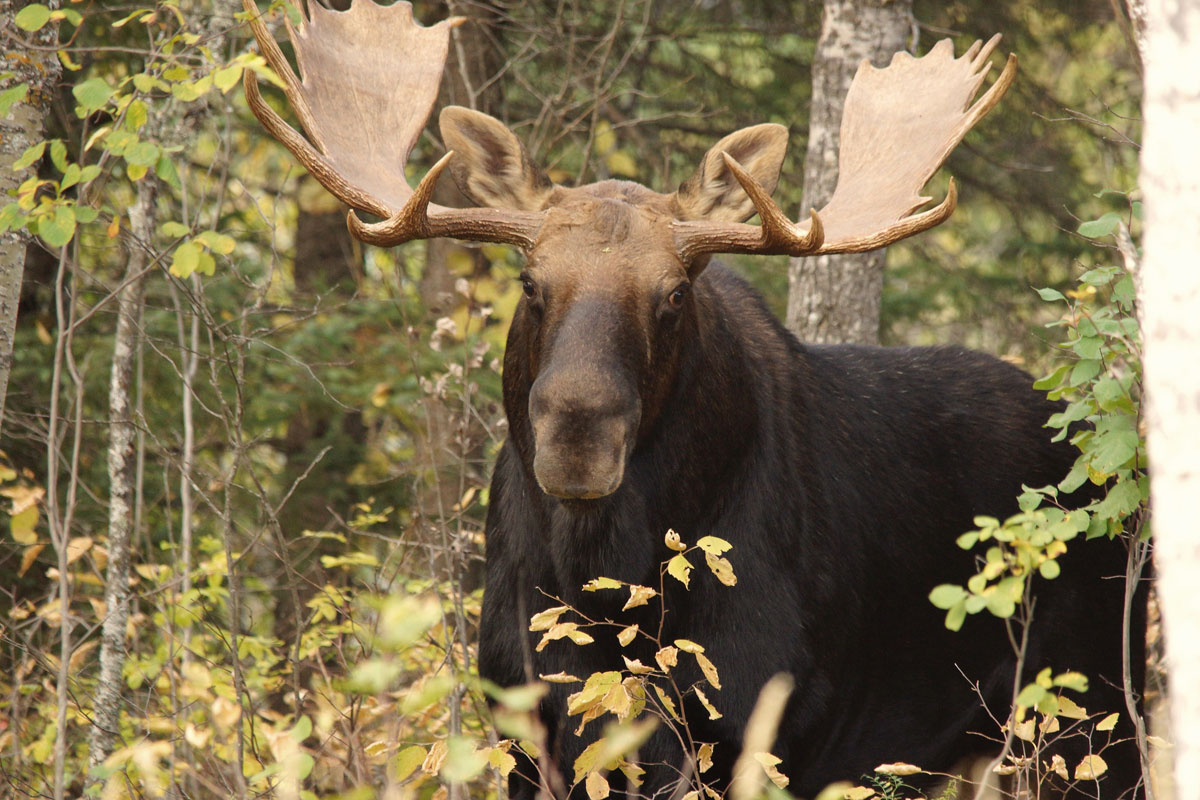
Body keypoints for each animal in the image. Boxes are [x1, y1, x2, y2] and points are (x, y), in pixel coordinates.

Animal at [241, 2, 1144, 798]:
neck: (598, 581)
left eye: (674, 293)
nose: (577, 436)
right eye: (530, 282)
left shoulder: (759, 728)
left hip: (1091, 713)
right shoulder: (524, 730)